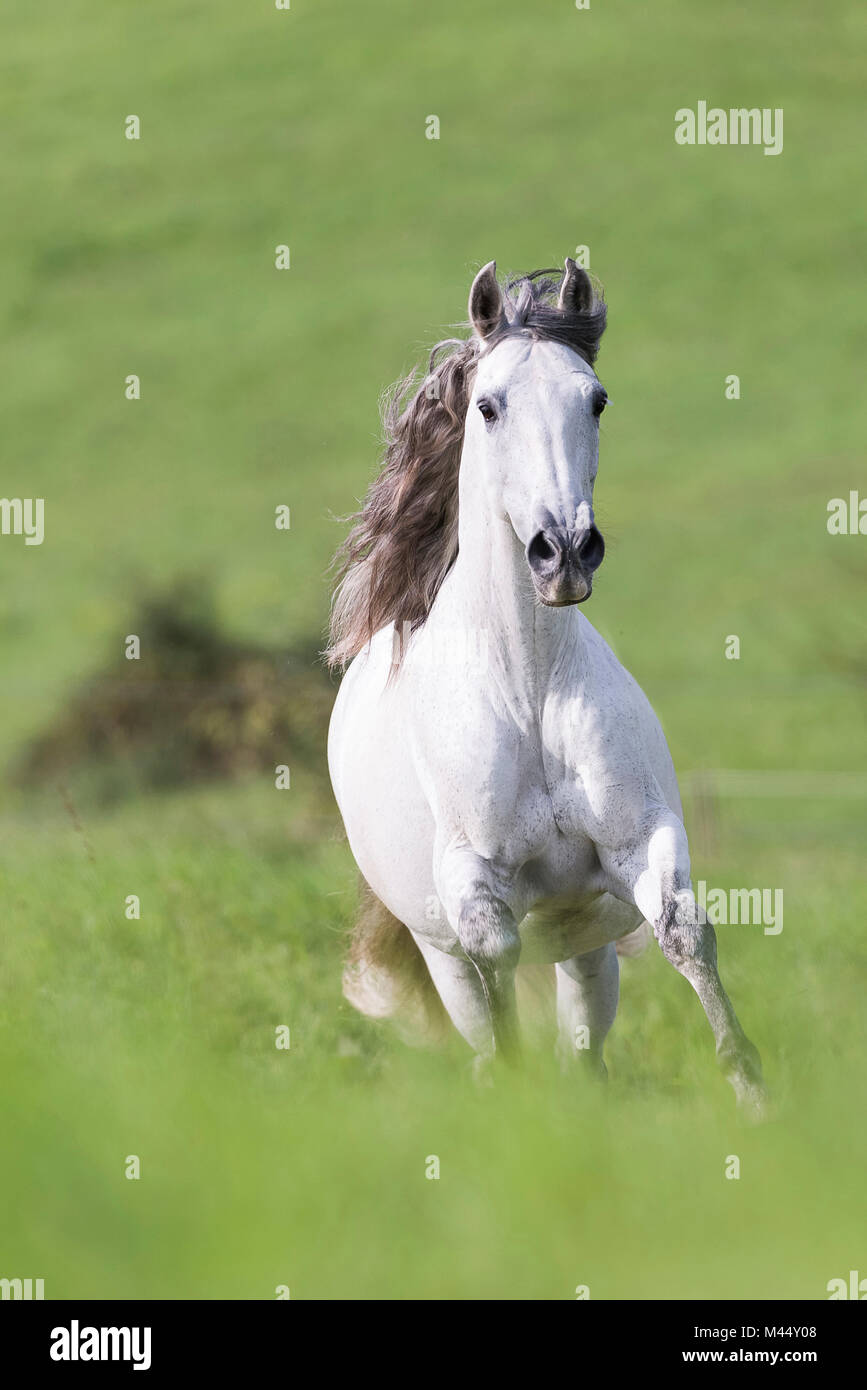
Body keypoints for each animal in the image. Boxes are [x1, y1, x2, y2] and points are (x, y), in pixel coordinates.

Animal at [326, 259, 767, 1116]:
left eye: (594, 399)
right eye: (487, 405)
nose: (562, 551)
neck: (526, 691)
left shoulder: (640, 843)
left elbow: (686, 932)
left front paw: (752, 1094)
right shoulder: (473, 885)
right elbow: (495, 955)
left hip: (583, 945)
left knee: (584, 1050)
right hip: (441, 954)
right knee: (482, 1012)